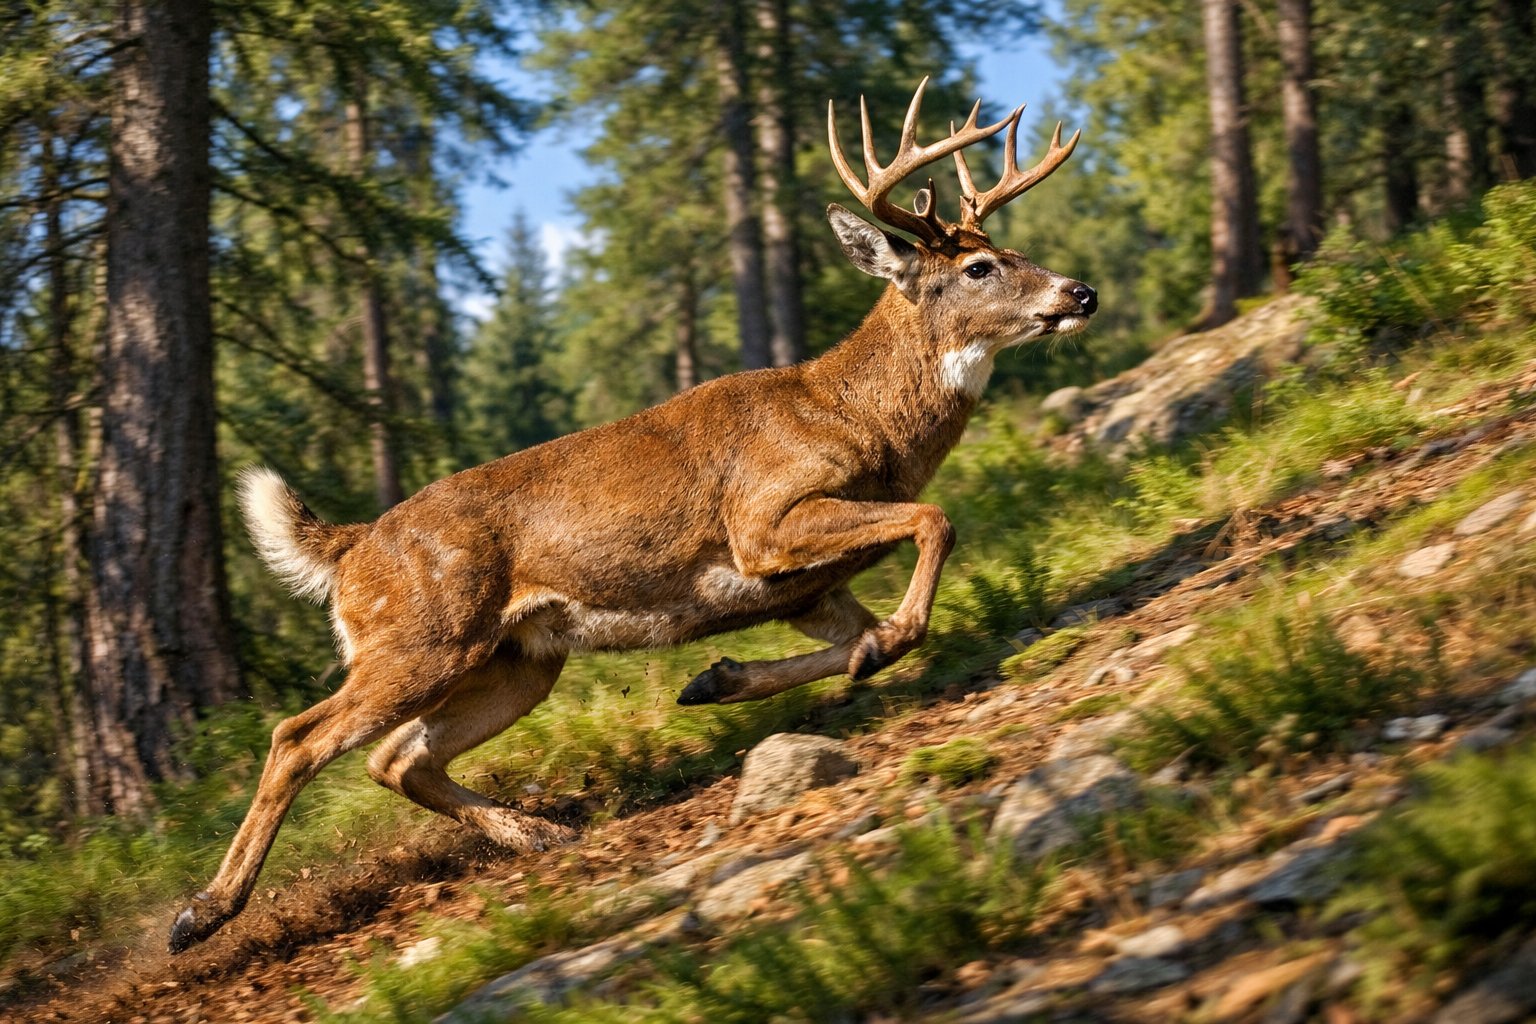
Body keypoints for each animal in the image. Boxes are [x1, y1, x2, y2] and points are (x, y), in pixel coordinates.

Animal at [168, 77, 1096, 953]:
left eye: (1012, 250)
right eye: (978, 268)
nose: (1081, 291)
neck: (857, 417)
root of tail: (353, 546)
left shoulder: (803, 591)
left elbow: (859, 630)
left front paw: (725, 677)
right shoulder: (763, 522)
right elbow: (934, 522)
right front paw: (854, 649)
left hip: (517, 659)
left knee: (399, 758)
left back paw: (538, 831)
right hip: (419, 636)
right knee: (299, 736)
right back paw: (202, 914)